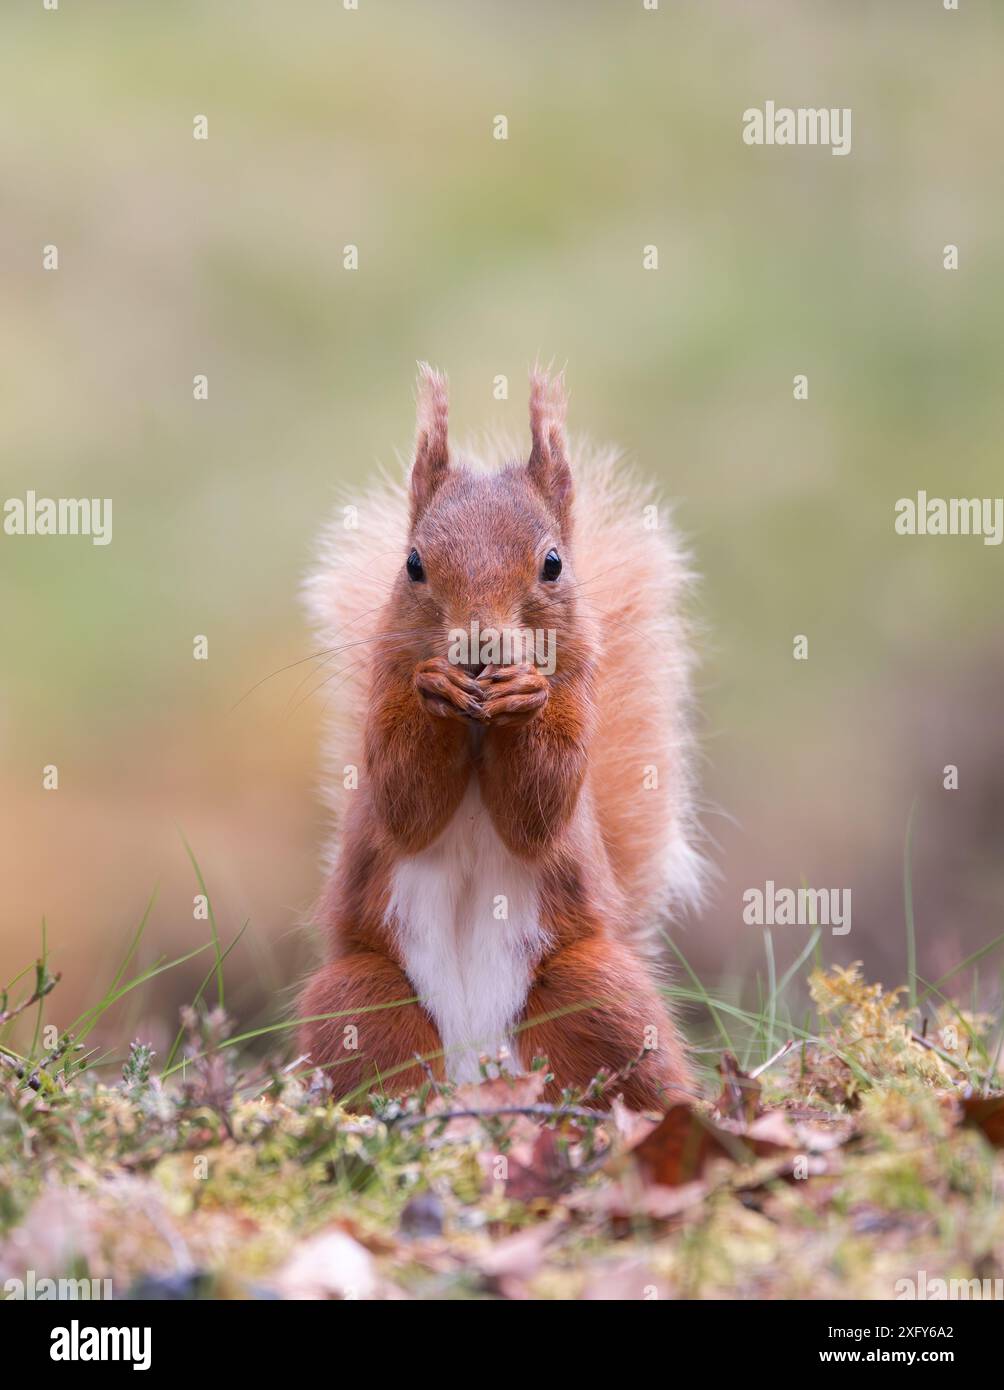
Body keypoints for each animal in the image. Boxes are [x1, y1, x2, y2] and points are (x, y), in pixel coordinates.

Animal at [298, 366, 703, 1110]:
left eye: (553, 564)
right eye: (413, 564)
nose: (478, 647)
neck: (478, 729)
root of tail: (480, 1075)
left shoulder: (576, 702)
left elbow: (538, 808)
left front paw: (523, 700)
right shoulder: (385, 704)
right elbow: (402, 799)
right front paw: (436, 690)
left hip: (596, 990)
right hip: (359, 999)